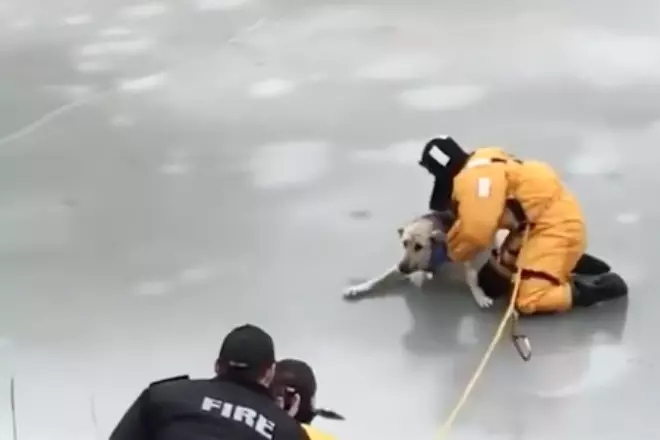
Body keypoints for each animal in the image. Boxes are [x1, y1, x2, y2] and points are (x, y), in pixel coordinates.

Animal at [342, 211, 508, 310]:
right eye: (404, 243)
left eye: (419, 246)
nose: (402, 268)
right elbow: (378, 278)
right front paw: (357, 288)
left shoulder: (476, 250)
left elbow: (471, 275)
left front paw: (479, 295)